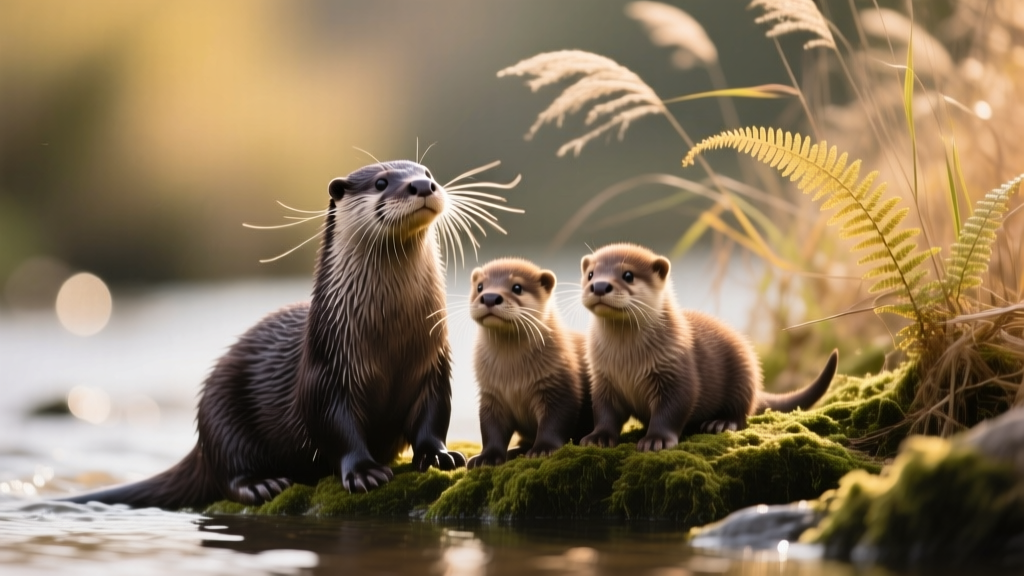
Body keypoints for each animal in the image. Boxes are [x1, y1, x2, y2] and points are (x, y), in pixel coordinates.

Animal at [64, 160, 519, 508]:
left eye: (426, 172)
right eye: (381, 182)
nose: (422, 185)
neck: (389, 340)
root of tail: (201, 444)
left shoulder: (434, 364)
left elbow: (432, 416)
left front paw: (441, 456)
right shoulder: (327, 368)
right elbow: (335, 426)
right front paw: (364, 472)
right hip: (220, 413)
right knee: (229, 473)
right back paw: (261, 484)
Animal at [466, 258, 593, 468]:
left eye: (517, 287)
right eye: (480, 287)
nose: (490, 297)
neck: (513, 375)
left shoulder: (558, 383)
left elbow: (555, 420)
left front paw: (543, 449)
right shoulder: (491, 393)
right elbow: (490, 428)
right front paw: (486, 458)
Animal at [579, 243, 838, 452]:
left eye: (628, 275)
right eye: (591, 274)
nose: (599, 286)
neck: (627, 362)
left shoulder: (676, 371)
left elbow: (672, 409)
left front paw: (656, 440)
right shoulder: (603, 379)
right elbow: (605, 412)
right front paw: (598, 437)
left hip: (743, 372)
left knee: (742, 412)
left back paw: (720, 423)